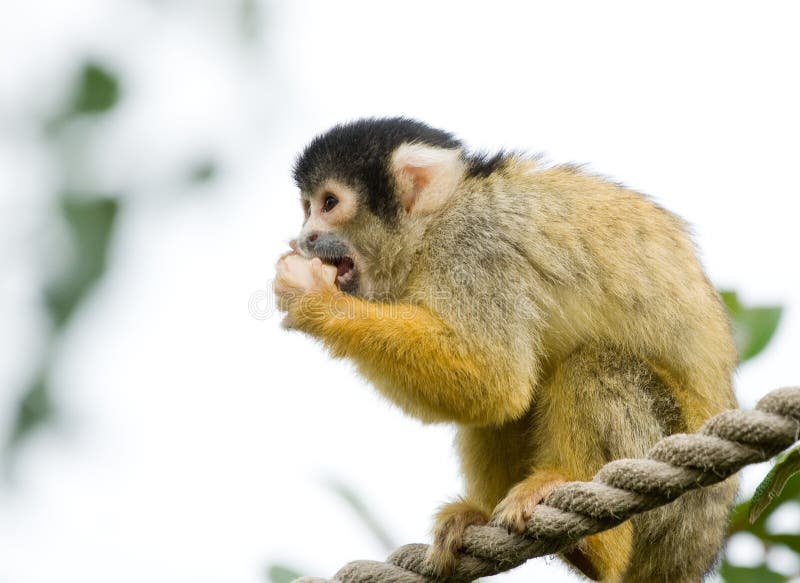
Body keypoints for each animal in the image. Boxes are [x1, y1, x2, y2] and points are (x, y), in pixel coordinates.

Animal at [273, 117, 739, 582]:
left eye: (329, 203)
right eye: (307, 207)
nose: (305, 236)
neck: (434, 225)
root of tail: (695, 553)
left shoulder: (475, 248)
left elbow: (494, 379)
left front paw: (313, 297)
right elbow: (492, 390)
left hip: (678, 502)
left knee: (595, 365)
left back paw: (592, 543)